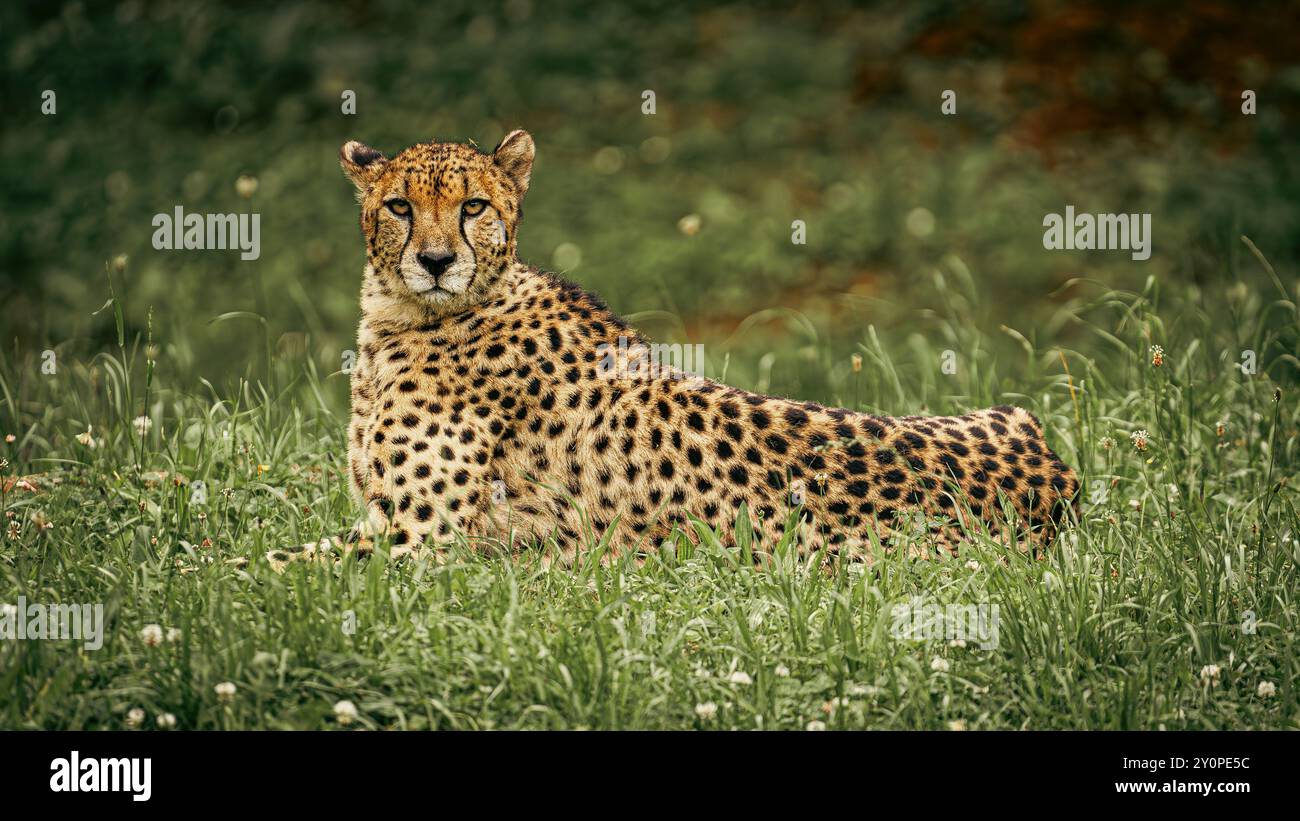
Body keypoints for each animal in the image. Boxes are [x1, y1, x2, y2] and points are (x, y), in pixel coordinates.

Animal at [268, 130, 1079, 570]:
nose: (436, 261)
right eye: (399, 206)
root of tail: (1055, 482)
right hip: (1002, 409)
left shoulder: (418, 543)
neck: (414, 315)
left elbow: (261, 567)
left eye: (474, 206)